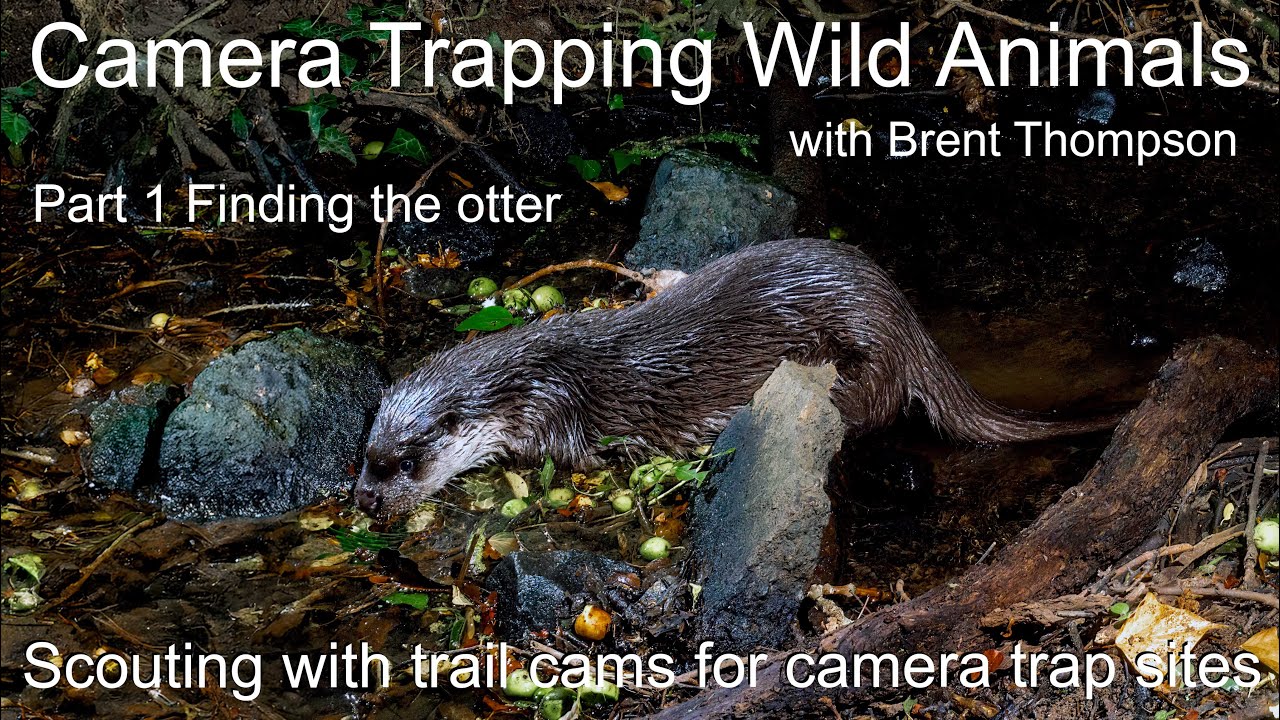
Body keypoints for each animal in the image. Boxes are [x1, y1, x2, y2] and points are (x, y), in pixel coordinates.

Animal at [357, 239, 1114, 518]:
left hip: (859, 360)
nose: (364, 499)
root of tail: (903, 317)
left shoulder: (558, 420)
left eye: (403, 463)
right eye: (366, 454)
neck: (535, 378)